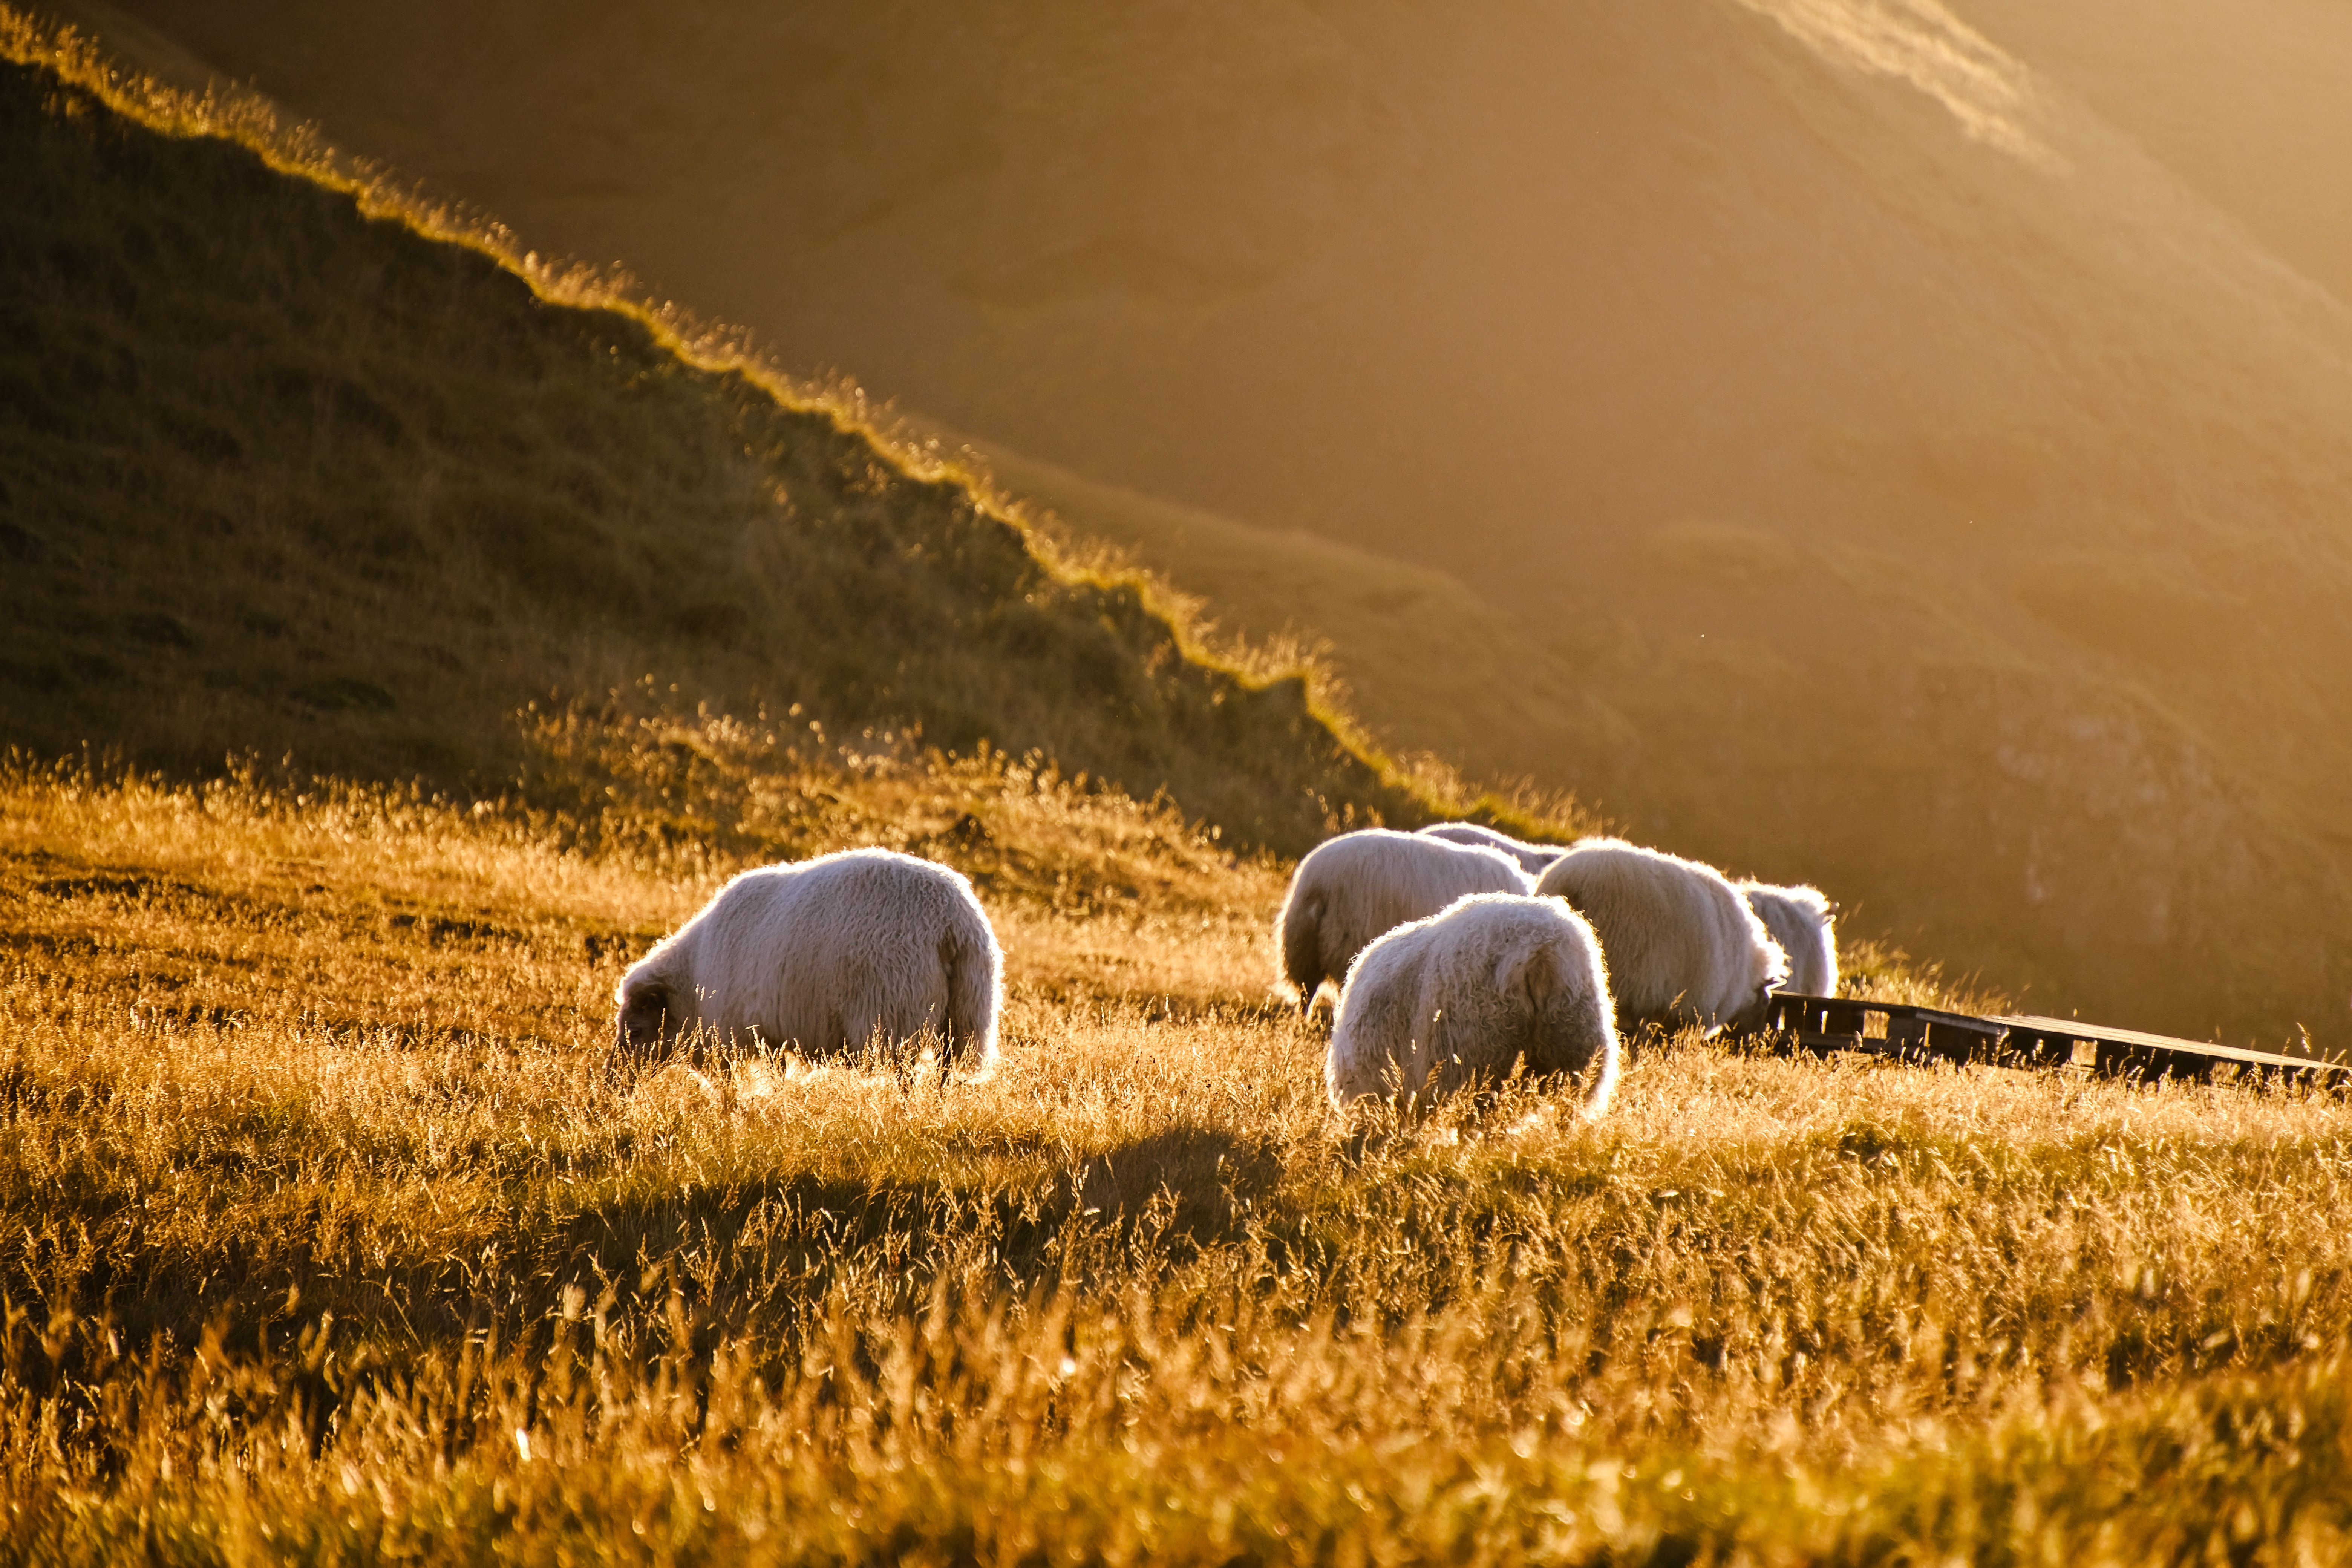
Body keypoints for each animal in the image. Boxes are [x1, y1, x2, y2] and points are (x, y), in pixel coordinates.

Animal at [614, 847, 1001, 1073]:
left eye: (635, 1030)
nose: (614, 1081)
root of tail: (950, 921)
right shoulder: (771, 1035)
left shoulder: (736, 1033)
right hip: (966, 1013)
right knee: (946, 1072)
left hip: (894, 1015)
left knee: (904, 1075)